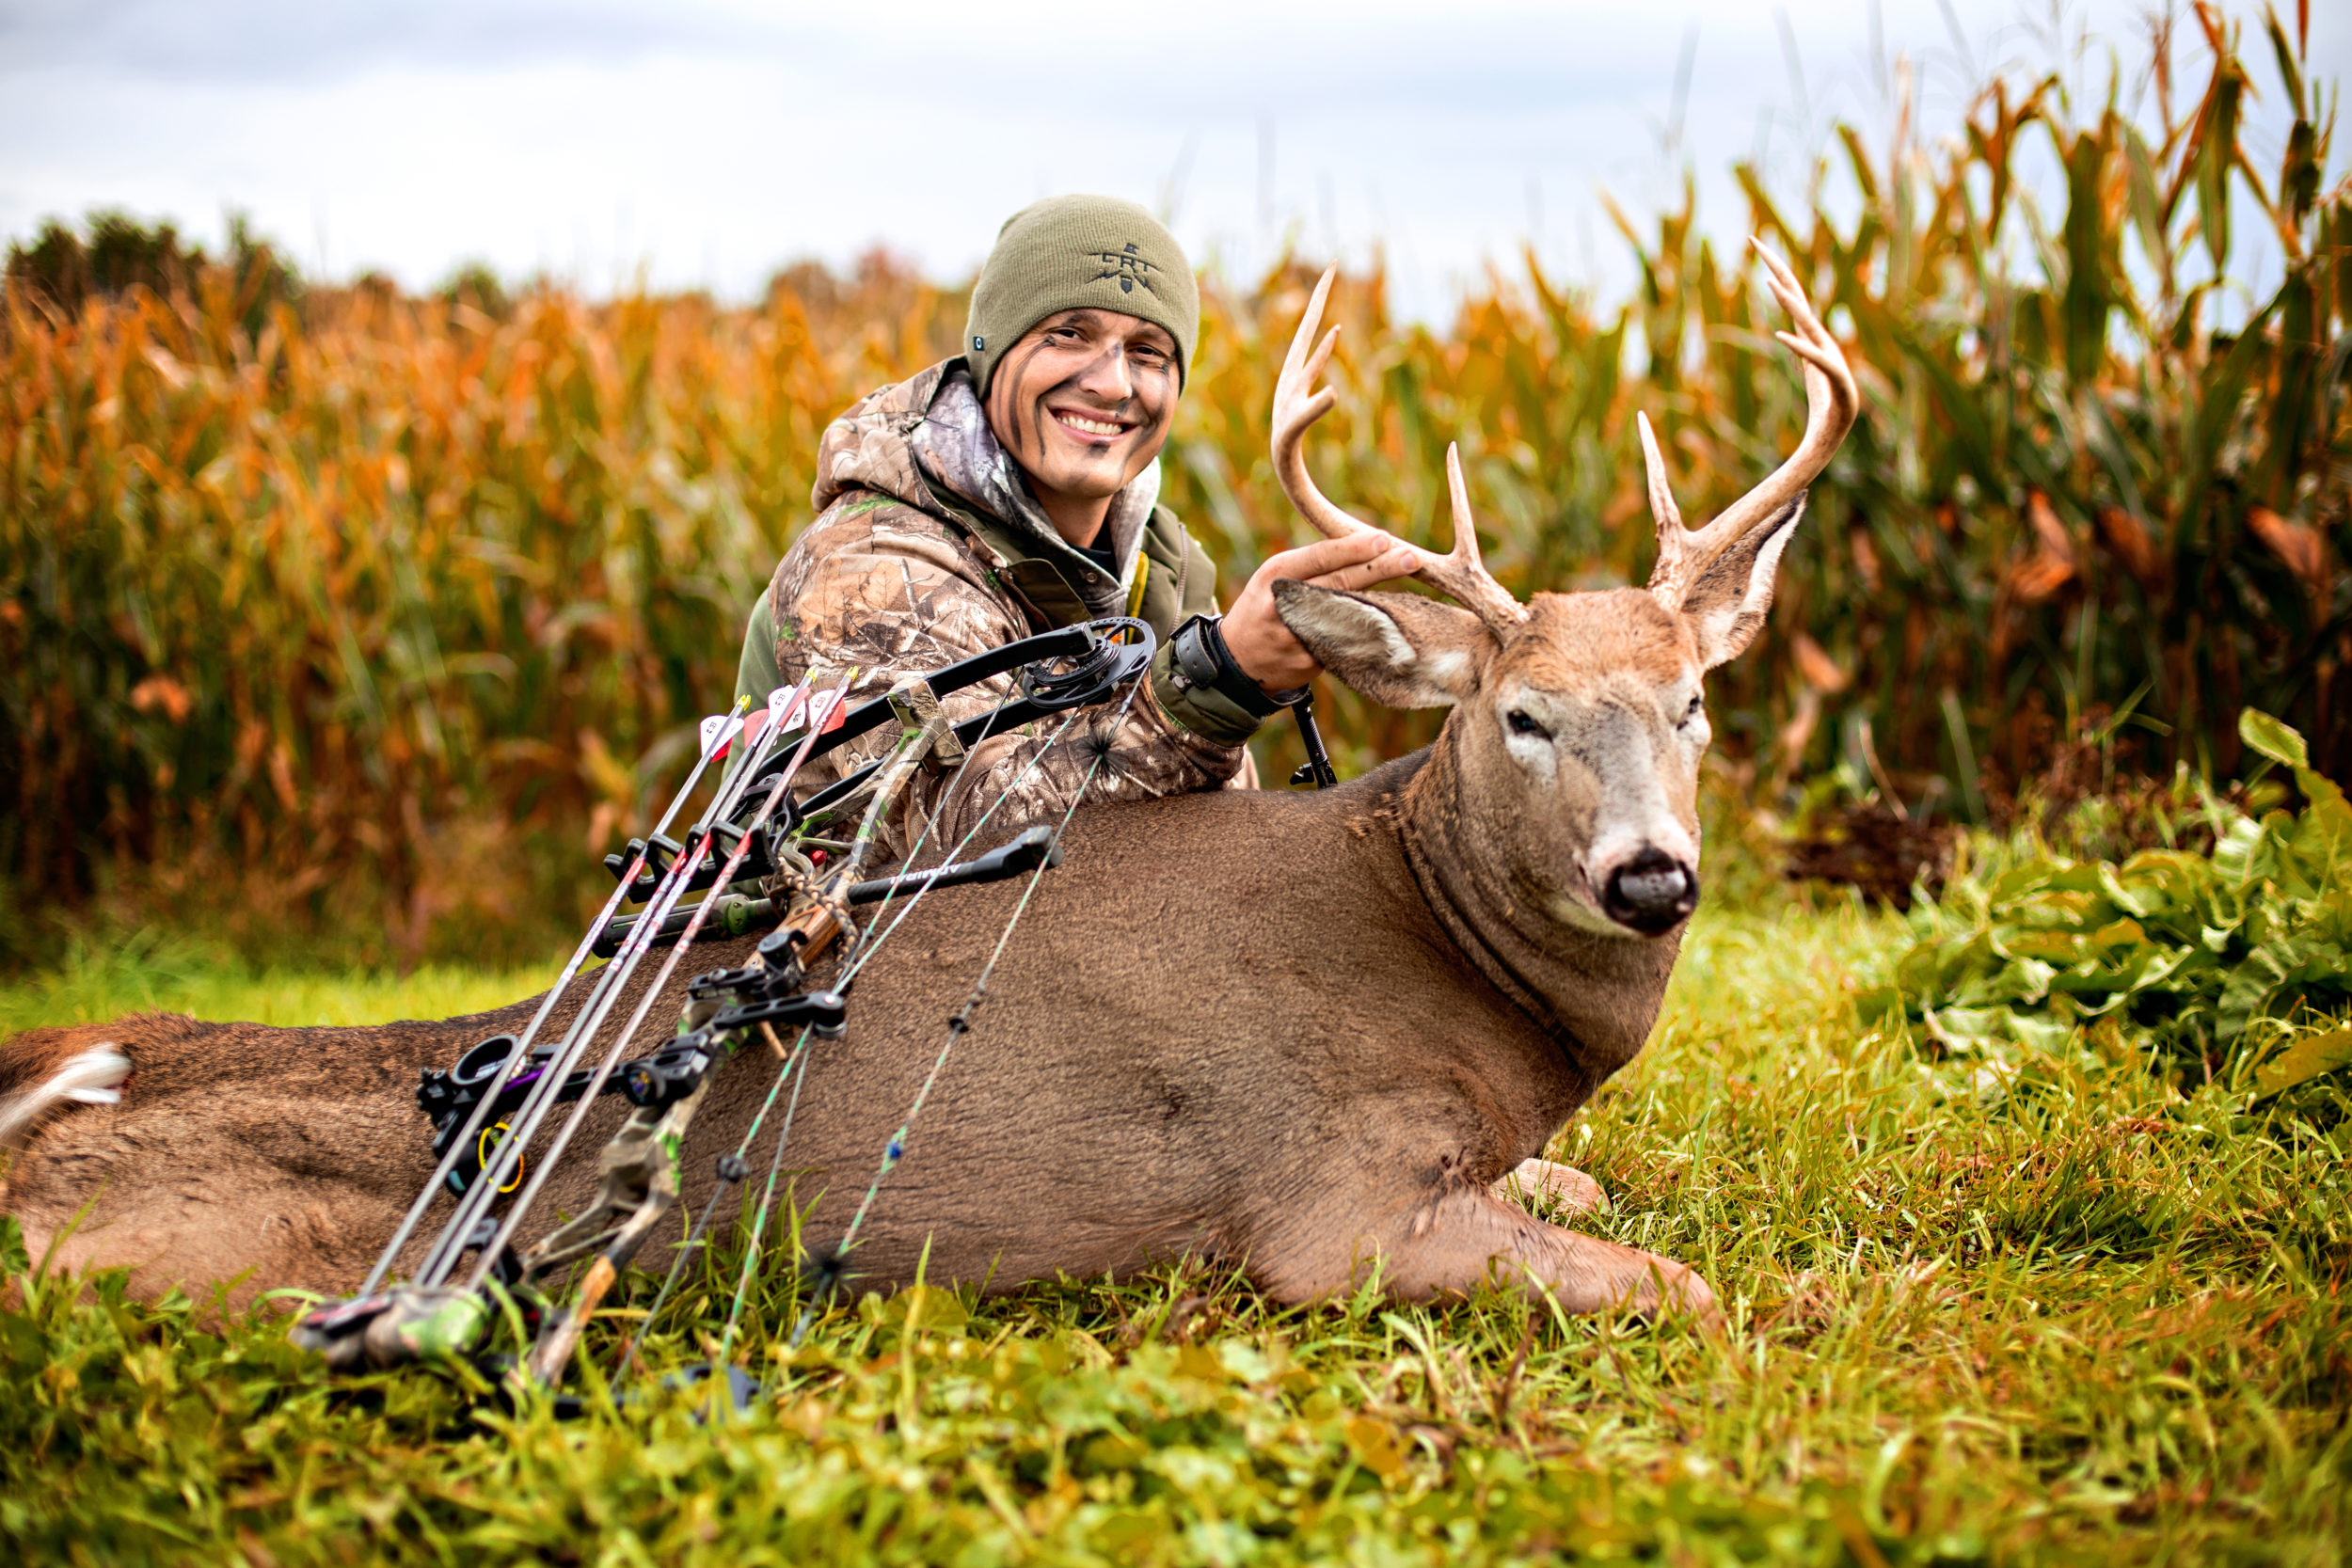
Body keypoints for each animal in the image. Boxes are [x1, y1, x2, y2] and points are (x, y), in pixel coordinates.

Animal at [0, 246, 1856, 1332]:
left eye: (1696, 701)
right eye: (1523, 715)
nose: (1651, 876)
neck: (1439, 945)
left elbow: (1599, 1190)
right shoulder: (1333, 1202)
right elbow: (1683, 1283)